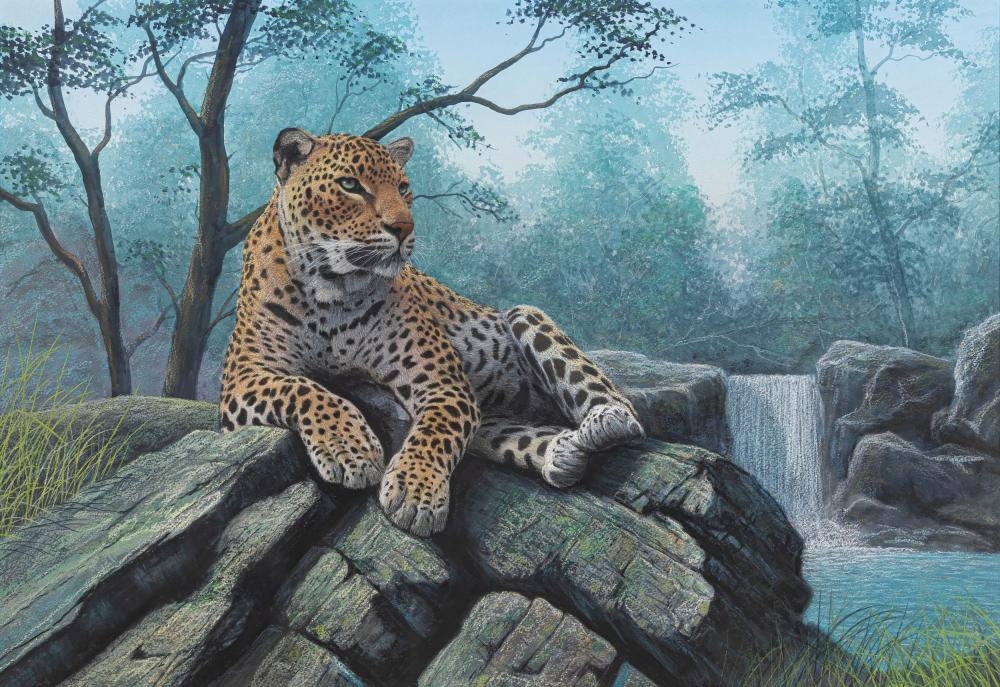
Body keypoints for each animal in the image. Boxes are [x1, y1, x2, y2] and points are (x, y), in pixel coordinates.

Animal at [220, 128, 646, 537]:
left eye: (403, 187)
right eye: (350, 185)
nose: (403, 228)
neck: (333, 291)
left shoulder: (444, 386)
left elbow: (435, 434)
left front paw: (415, 495)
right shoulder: (243, 378)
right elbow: (306, 390)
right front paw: (351, 448)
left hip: (526, 315)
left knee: (626, 418)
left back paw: (604, 421)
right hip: (493, 420)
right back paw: (563, 453)